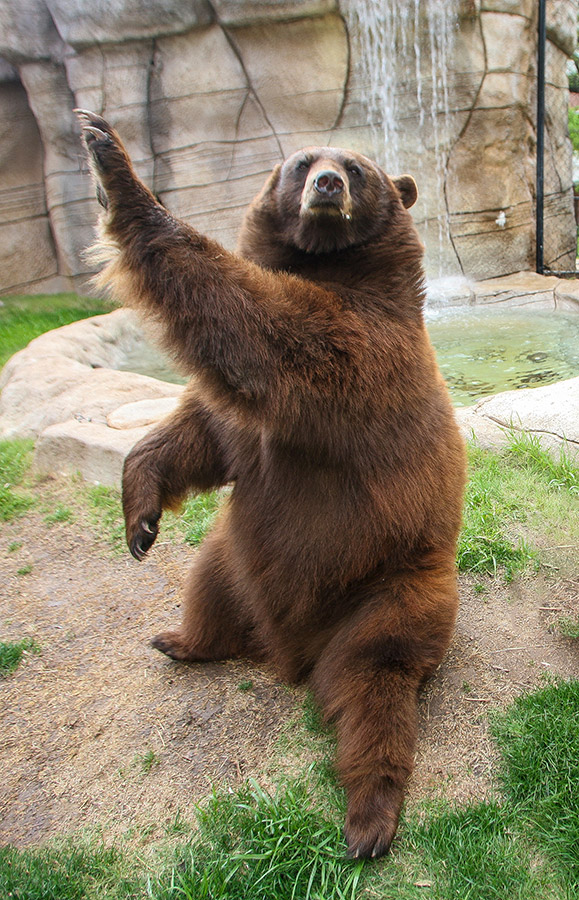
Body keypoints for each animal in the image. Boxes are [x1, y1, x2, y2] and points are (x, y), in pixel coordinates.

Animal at [76, 109, 466, 859]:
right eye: (301, 161)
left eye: (356, 166)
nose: (326, 184)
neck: (328, 263)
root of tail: (293, 651)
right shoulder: (248, 426)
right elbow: (203, 431)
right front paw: (139, 515)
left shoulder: (355, 351)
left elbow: (254, 325)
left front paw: (115, 170)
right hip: (234, 555)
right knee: (208, 590)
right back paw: (182, 640)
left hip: (388, 588)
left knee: (373, 688)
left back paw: (369, 818)